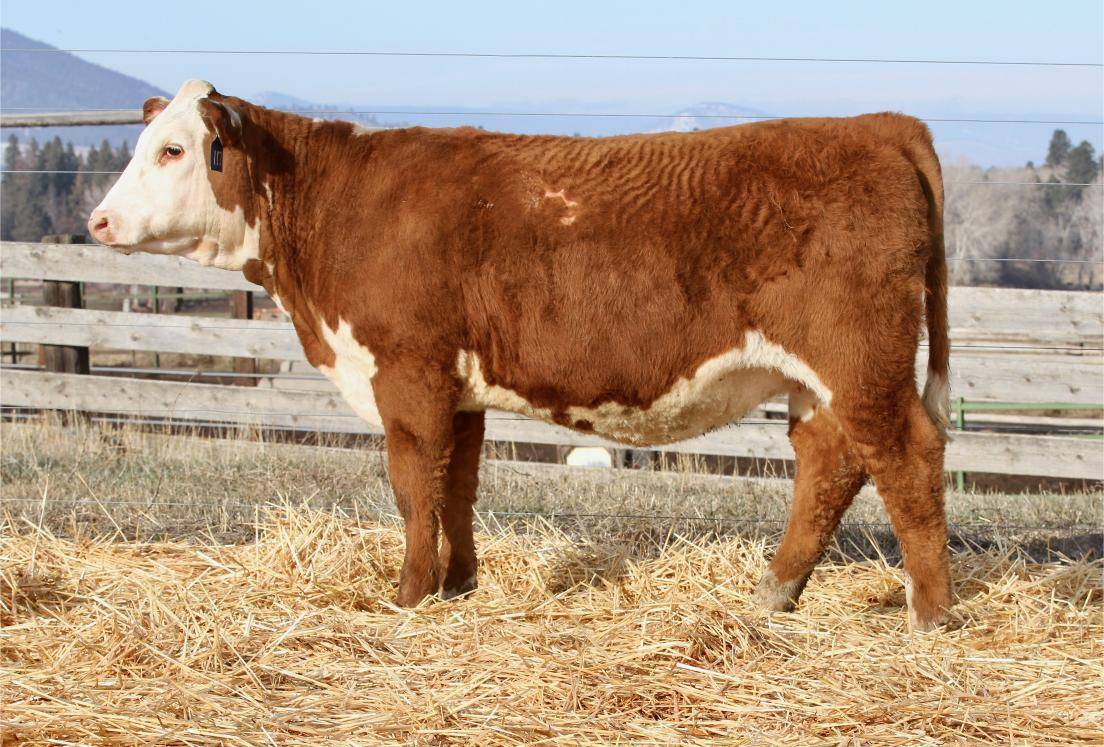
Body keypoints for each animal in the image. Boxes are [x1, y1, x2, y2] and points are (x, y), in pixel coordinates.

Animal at [89, 80, 953, 630]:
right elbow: (457, 487)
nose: (97, 220)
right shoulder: (459, 386)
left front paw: (407, 596)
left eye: (173, 150)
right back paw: (776, 592)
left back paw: (930, 613)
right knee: (829, 461)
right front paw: (459, 585)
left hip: (860, 358)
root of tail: (877, 123)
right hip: (822, 377)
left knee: (906, 454)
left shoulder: (407, 373)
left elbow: (413, 486)